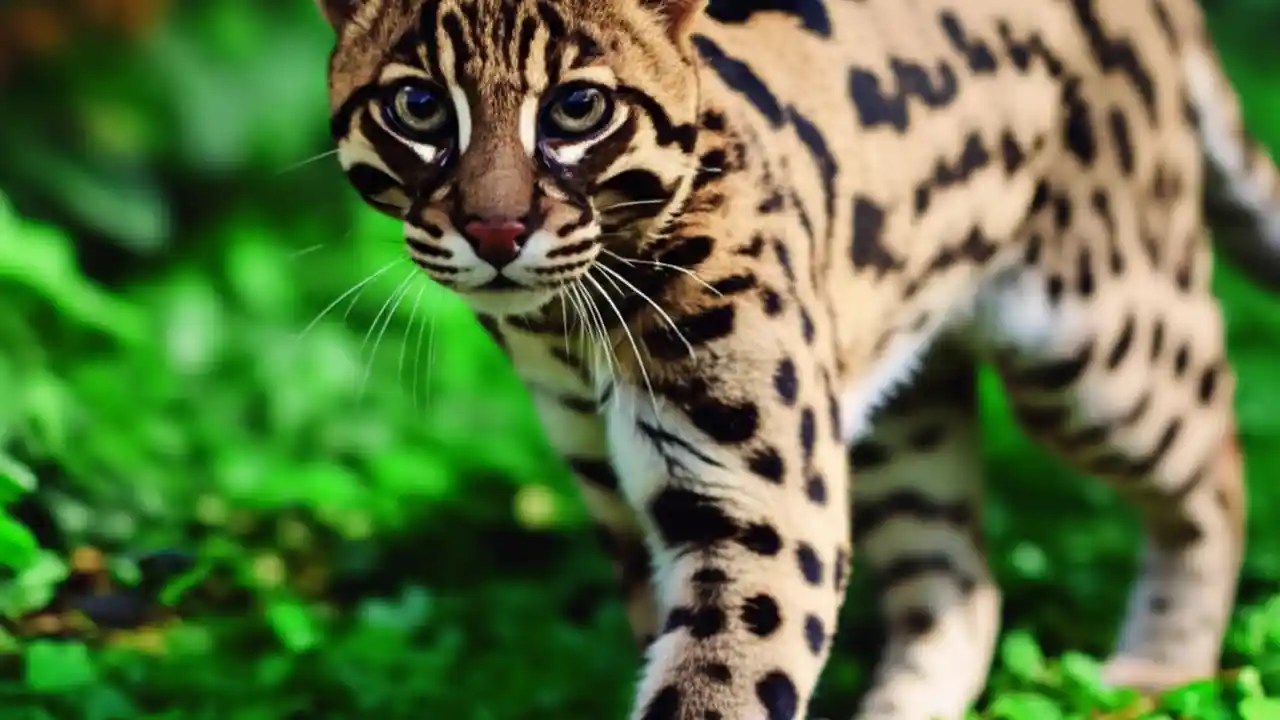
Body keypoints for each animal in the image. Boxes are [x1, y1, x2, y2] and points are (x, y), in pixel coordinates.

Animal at [314, 0, 1280, 717]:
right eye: (419, 106)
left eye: (577, 108)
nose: (495, 231)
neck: (568, 327)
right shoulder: (622, 497)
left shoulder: (754, 499)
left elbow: (722, 681)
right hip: (895, 414)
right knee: (962, 586)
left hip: (1101, 342)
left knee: (1217, 461)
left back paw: (1159, 673)